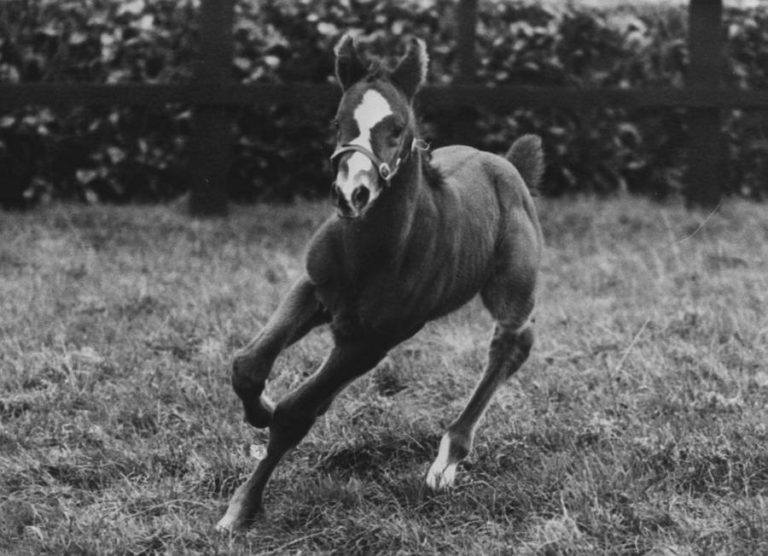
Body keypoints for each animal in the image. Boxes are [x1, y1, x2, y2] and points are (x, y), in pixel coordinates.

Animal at [216, 33, 544, 531]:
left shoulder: (372, 340)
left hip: (511, 288)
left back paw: (446, 461)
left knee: (512, 342)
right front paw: (261, 410)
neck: (368, 251)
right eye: (337, 121)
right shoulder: (312, 289)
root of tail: (507, 165)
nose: (351, 194)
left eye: (398, 127)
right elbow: (248, 366)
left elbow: (296, 413)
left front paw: (241, 508)